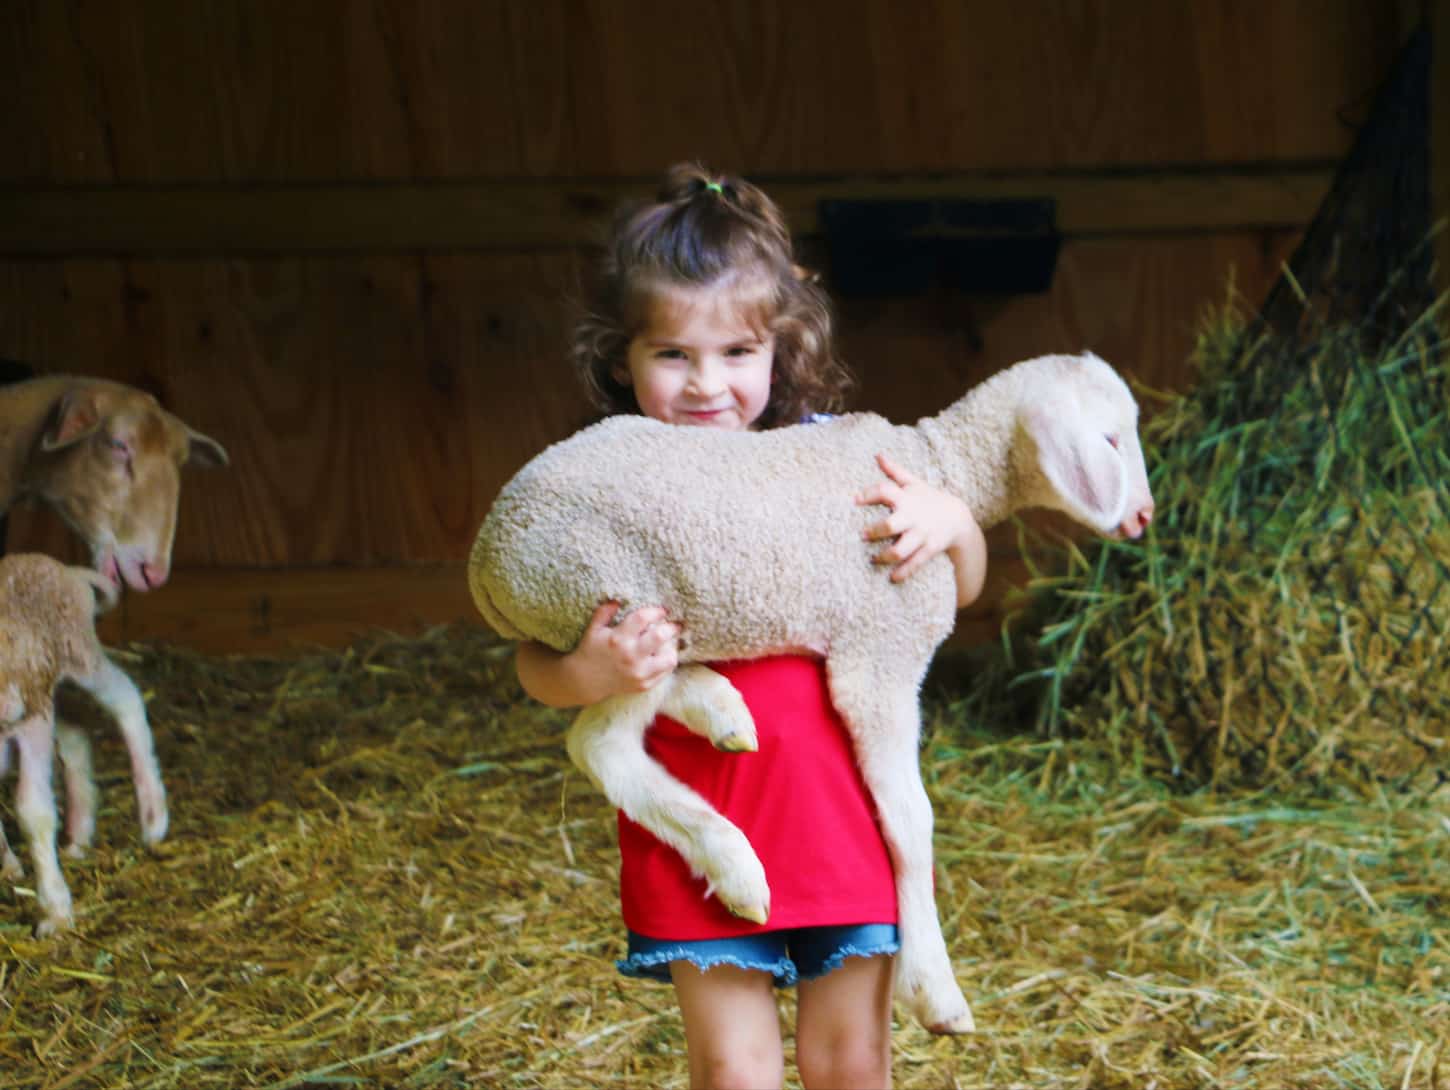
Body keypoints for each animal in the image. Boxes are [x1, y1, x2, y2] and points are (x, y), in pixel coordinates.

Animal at [0, 553, 165, 936]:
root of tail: (67, 570)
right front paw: (9, 867)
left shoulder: (29, 713)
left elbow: (33, 811)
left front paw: (56, 911)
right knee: (76, 735)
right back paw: (78, 835)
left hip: (80, 654)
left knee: (127, 699)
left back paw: (153, 818)